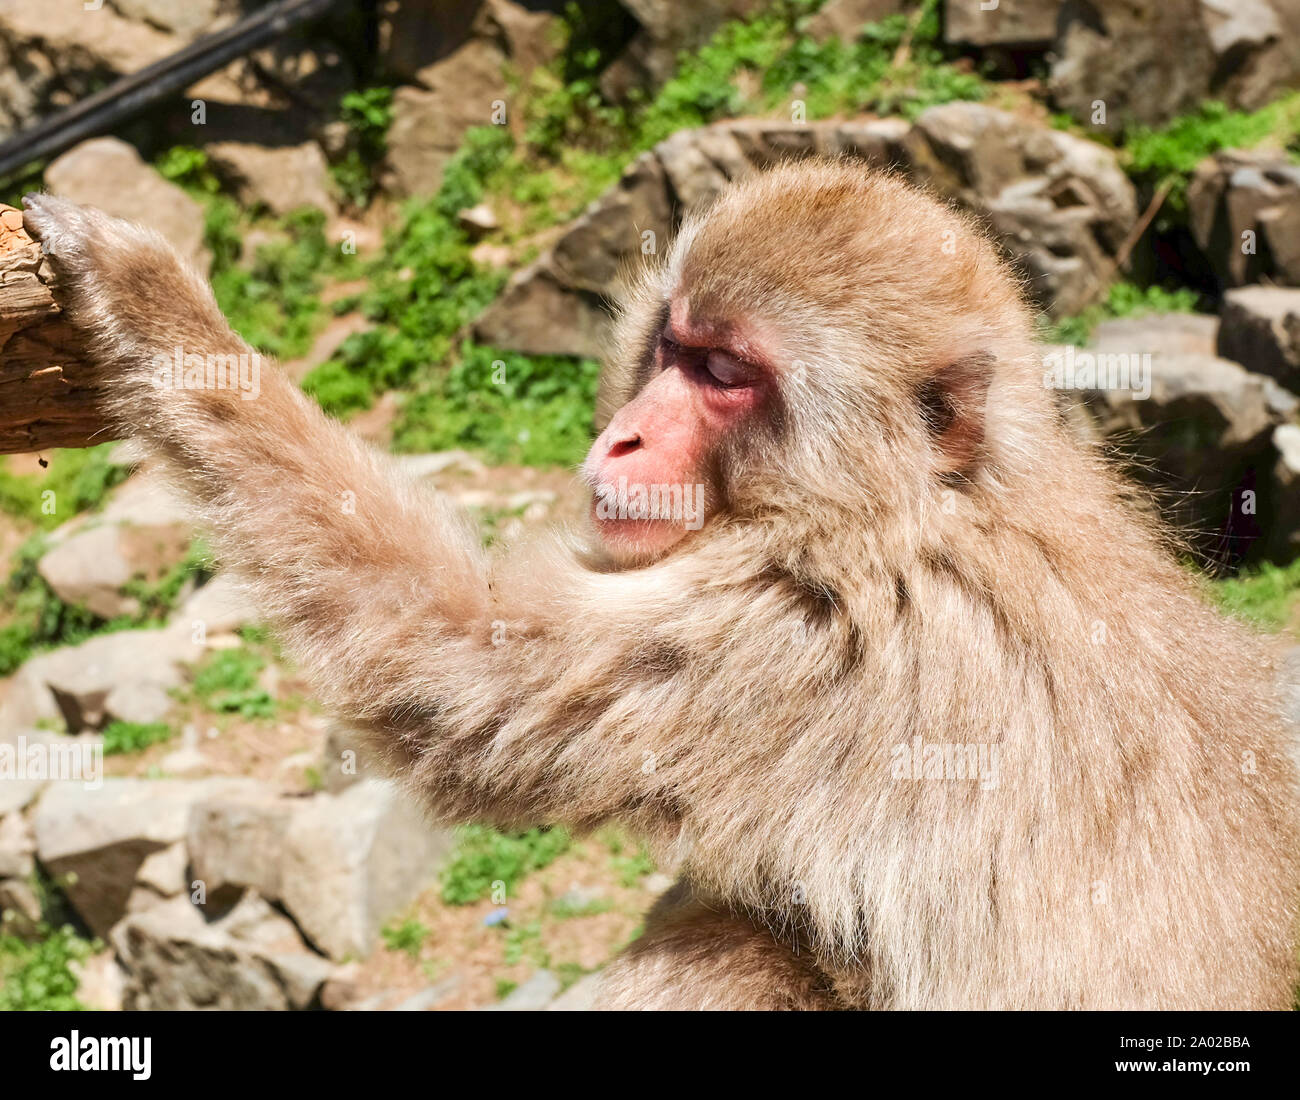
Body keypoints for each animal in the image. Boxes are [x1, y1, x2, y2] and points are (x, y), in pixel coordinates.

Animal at [20, 161, 1300, 1010]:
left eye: (726, 373)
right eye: (672, 347)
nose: (626, 434)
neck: (916, 502)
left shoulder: (801, 636)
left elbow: (449, 660)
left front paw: (150, 299)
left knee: (739, 946)